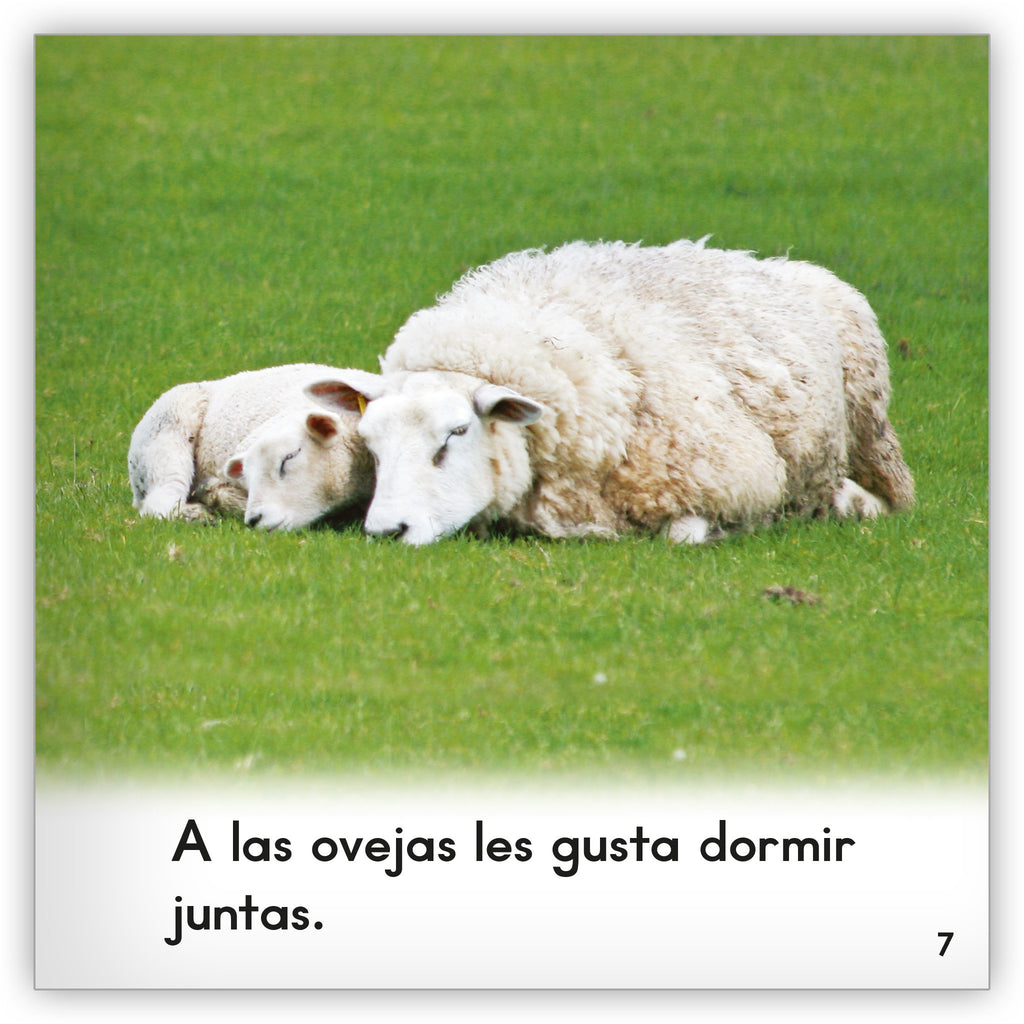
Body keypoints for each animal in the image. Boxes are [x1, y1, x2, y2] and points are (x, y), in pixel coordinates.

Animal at [304, 239, 914, 546]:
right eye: (371, 445)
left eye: (455, 434)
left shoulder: (732, 475)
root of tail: (760, 260)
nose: (387, 531)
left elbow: (684, 534)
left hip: (871, 434)